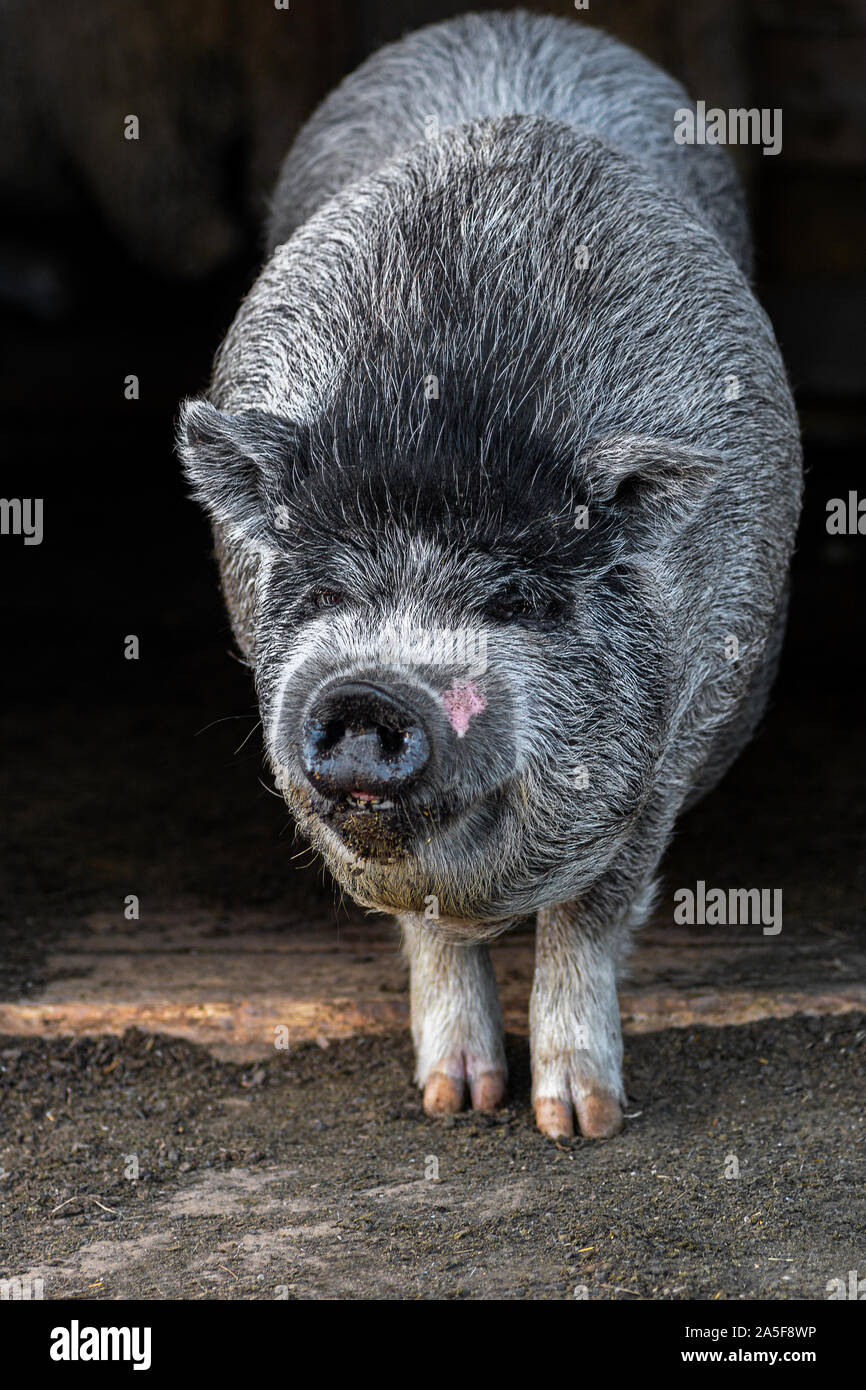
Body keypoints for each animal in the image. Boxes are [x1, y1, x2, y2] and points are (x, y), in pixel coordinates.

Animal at [178, 11, 802, 1138]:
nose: (371, 692)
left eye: (512, 602)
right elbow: (426, 924)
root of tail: (513, 23)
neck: (442, 426)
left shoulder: (672, 745)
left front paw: (578, 1124)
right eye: (326, 594)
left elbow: (589, 912)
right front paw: (452, 1105)